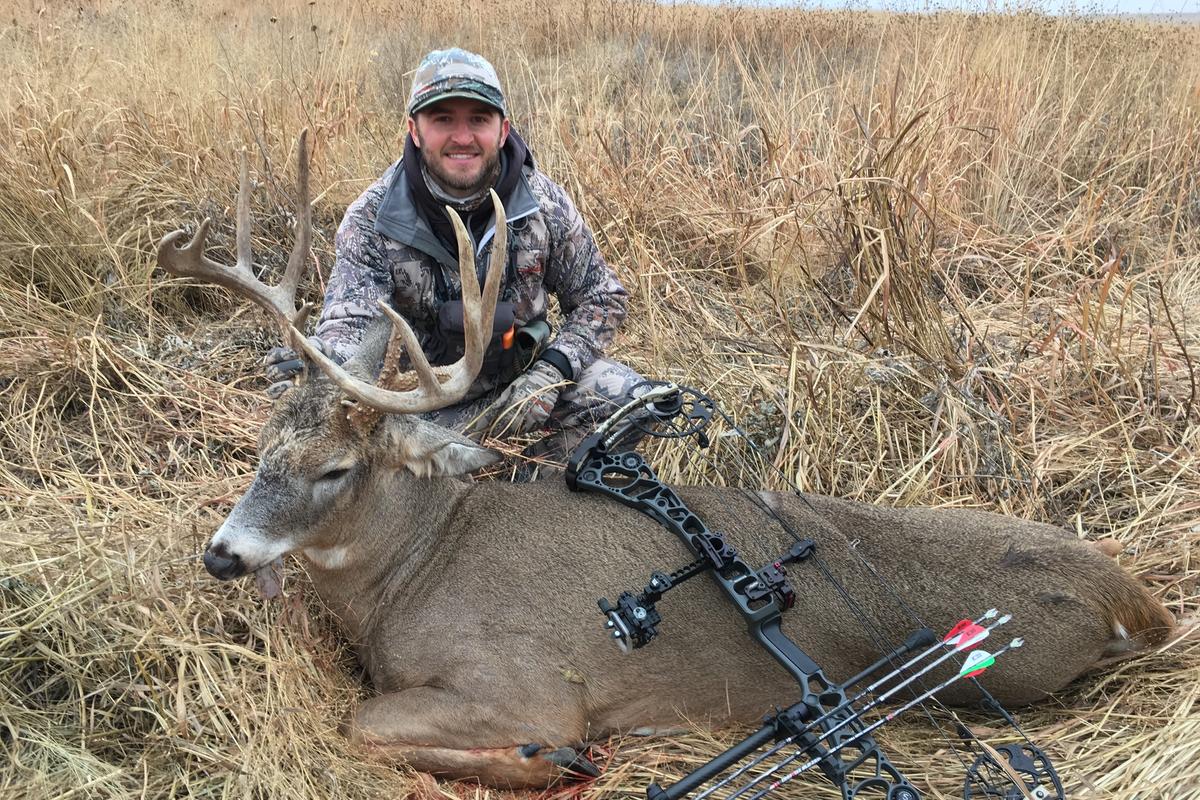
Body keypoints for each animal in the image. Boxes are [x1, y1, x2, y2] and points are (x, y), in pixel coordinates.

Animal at [157, 132, 1175, 789]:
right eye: (262, 447)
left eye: (335, 469)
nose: (221, 554)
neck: (411, 573)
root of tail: (1136, 605)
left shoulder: (526, 686)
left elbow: (362, 720)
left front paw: (549, 761)